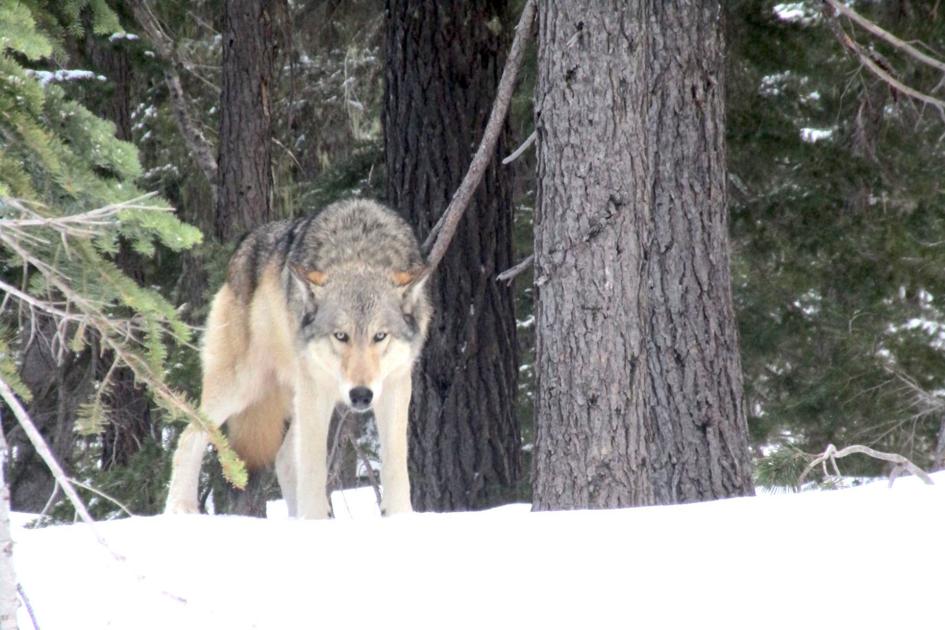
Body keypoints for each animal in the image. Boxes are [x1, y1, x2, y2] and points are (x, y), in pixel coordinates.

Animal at [164, 198, 431, 518]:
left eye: (380, 336)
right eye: (340, 336)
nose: (361, 395)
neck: (357, 250)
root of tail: (241, 247)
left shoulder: (394, 385)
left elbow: (395, 468)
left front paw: (400, 519)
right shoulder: (316, 390)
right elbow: (314, 469)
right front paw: (313, 520)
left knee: (283, 460)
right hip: (245, 387)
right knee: (189, 436)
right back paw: (179, 509)